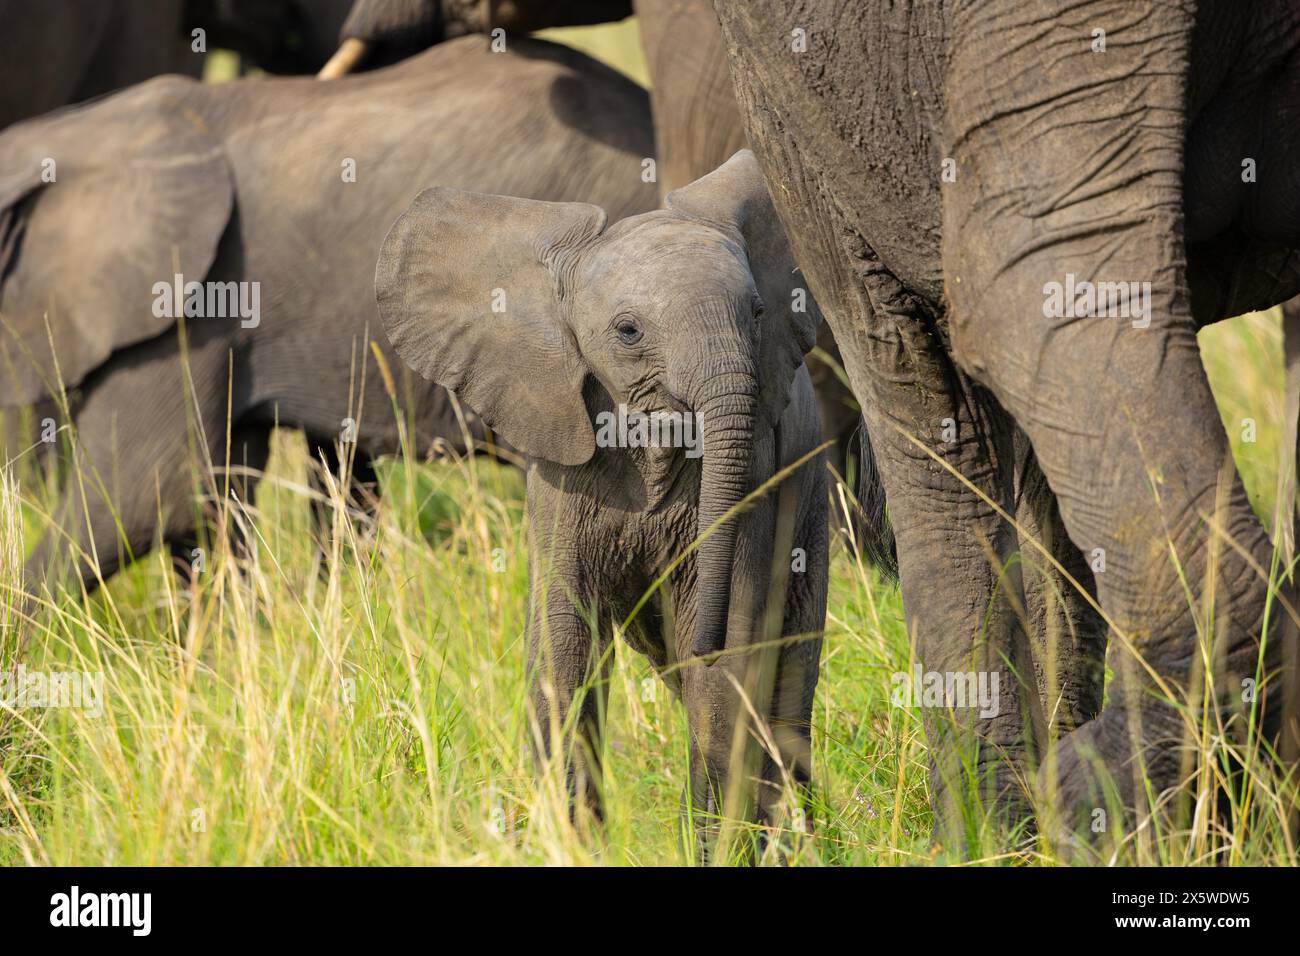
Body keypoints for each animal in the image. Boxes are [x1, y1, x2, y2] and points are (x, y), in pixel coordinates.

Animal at [376, 150, 827, 851]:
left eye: (757, 313)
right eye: (628, 330)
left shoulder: (756, 469)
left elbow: (729, 668)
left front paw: (717, 849)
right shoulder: (561, 473)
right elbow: (564, 643)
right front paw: (569, 845)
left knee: (786, 677)